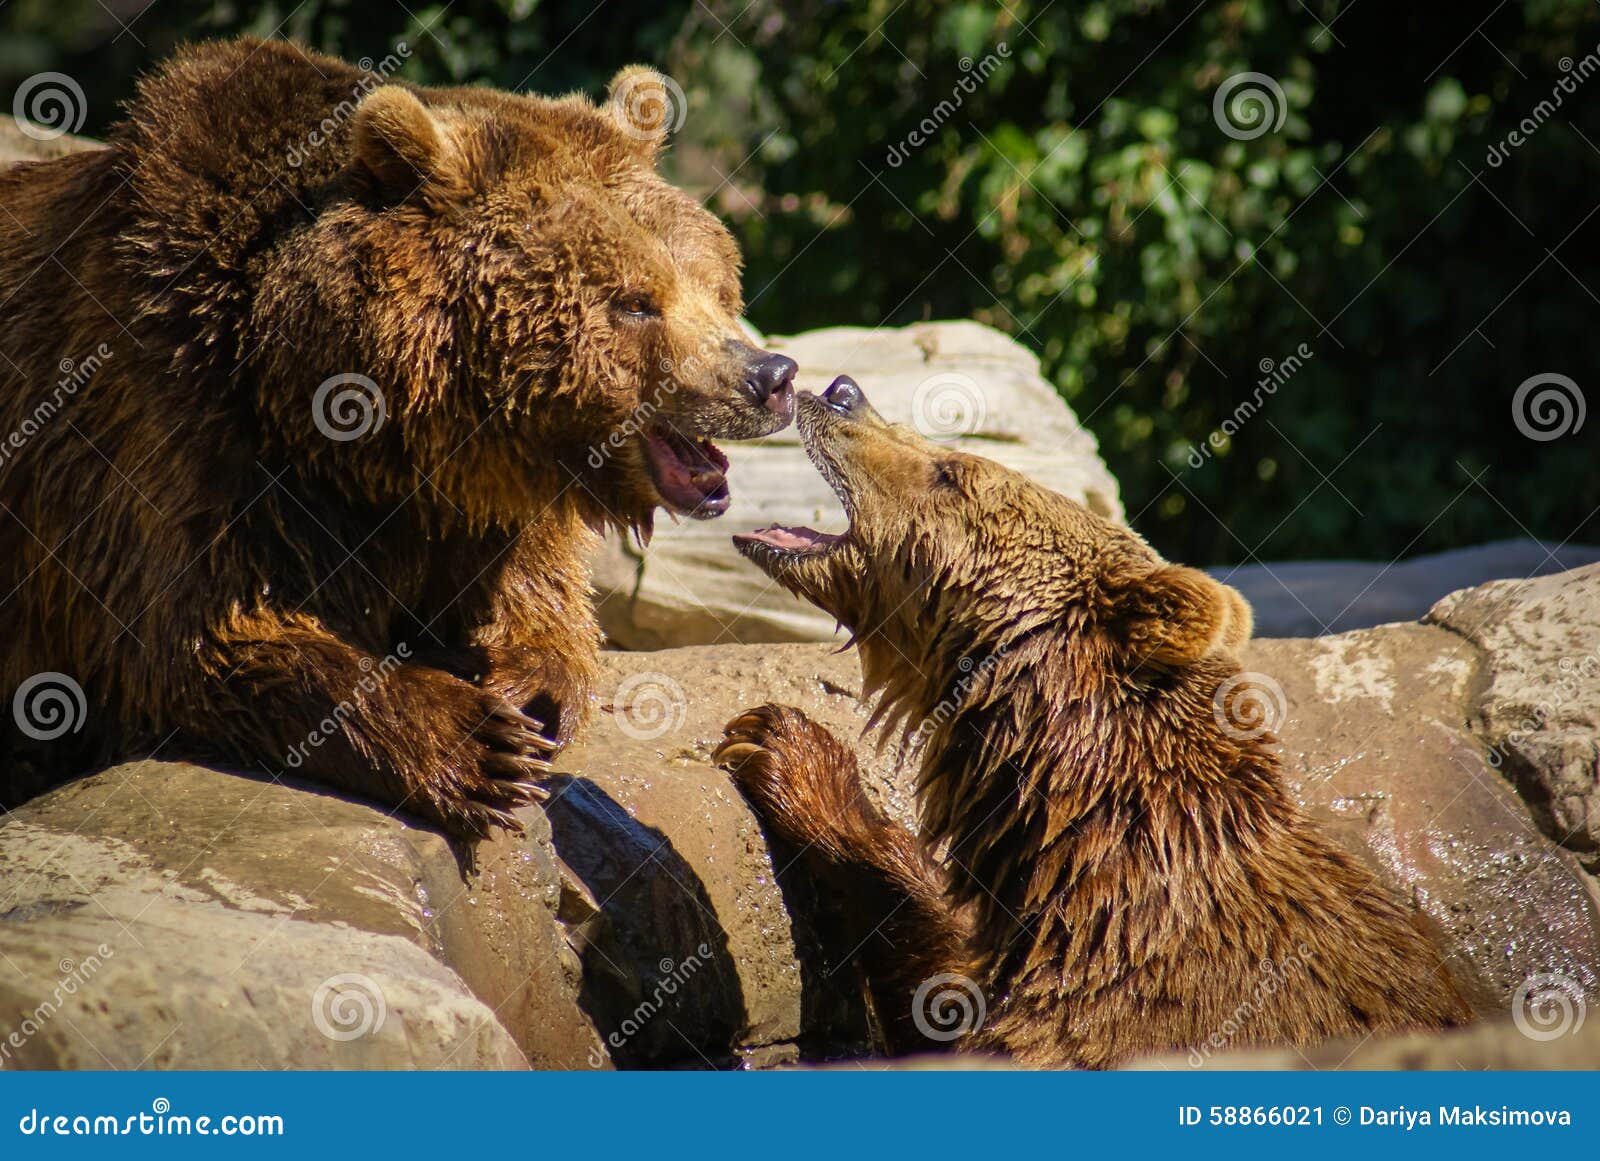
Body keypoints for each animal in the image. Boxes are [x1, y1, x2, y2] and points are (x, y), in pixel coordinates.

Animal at [0, 37, 797, 837]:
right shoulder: (173, 420)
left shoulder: (492, 498)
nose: (770, 376)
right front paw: (477, 743)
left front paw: (526, 684)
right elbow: (200, 632)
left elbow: (540, 598)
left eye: (714, 282)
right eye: (636, 302)